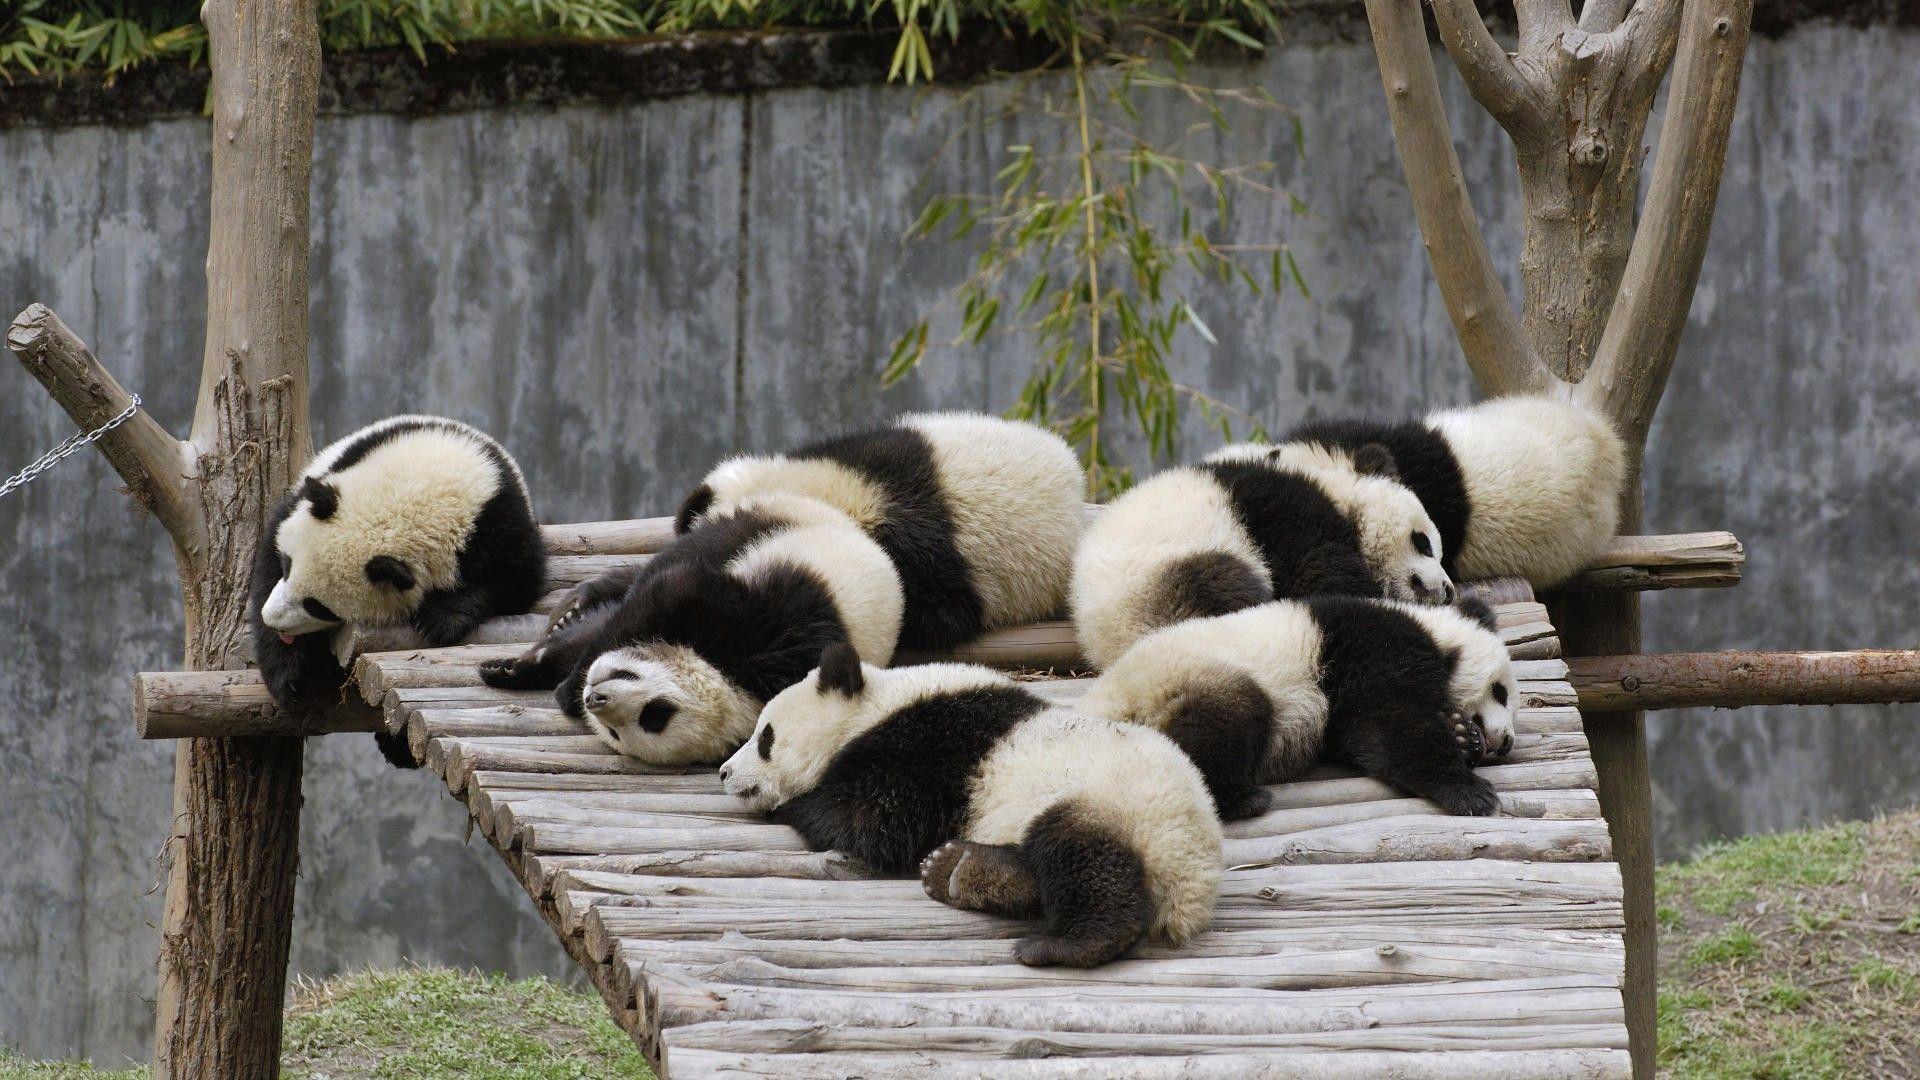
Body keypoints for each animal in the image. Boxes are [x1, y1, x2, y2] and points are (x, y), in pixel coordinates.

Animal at [250, 415, 546, 764]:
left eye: (317, 606)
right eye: (287, 565)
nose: (272, 619)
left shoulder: (497, 520)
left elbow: (518, 582)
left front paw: (439, 619)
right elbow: (269, 552)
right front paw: (288, 676)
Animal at [479, 493, 904, 766]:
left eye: (648, 720)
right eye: (658, 711)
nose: (595, 699)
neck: (735, 679)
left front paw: (555, 682)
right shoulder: (765, 626)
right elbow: (668, 591)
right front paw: (553, 677)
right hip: (766, 527)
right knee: (676, 559)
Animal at [720, 644, 1222, 968]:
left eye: (765, 738)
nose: (724, 773)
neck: (874, 706)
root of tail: (1193, 880)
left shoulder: (926, 749)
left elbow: (874, 820)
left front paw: (794, 805)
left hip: (1116, 803)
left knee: (1082, 855)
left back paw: (1063, 944)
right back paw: (962, 871)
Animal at [1071, 445, 1454, 669]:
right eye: (1423, 543)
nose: (1448, 591)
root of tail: (1105, 643)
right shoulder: (1285, 512)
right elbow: (1319, 571)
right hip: (1164, 574)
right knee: (1223, 588)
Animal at [1081, 595, 1516, 821]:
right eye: (1500, 692)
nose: (1507, 741)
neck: (1435, 632)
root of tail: (1102, 707)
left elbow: (1361, 738)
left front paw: (1462, 735)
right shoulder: (1374, 648)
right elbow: (1390, 725)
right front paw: (1469, 791)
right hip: (1183, 679)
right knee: (1228, 721)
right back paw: (1241, 799)